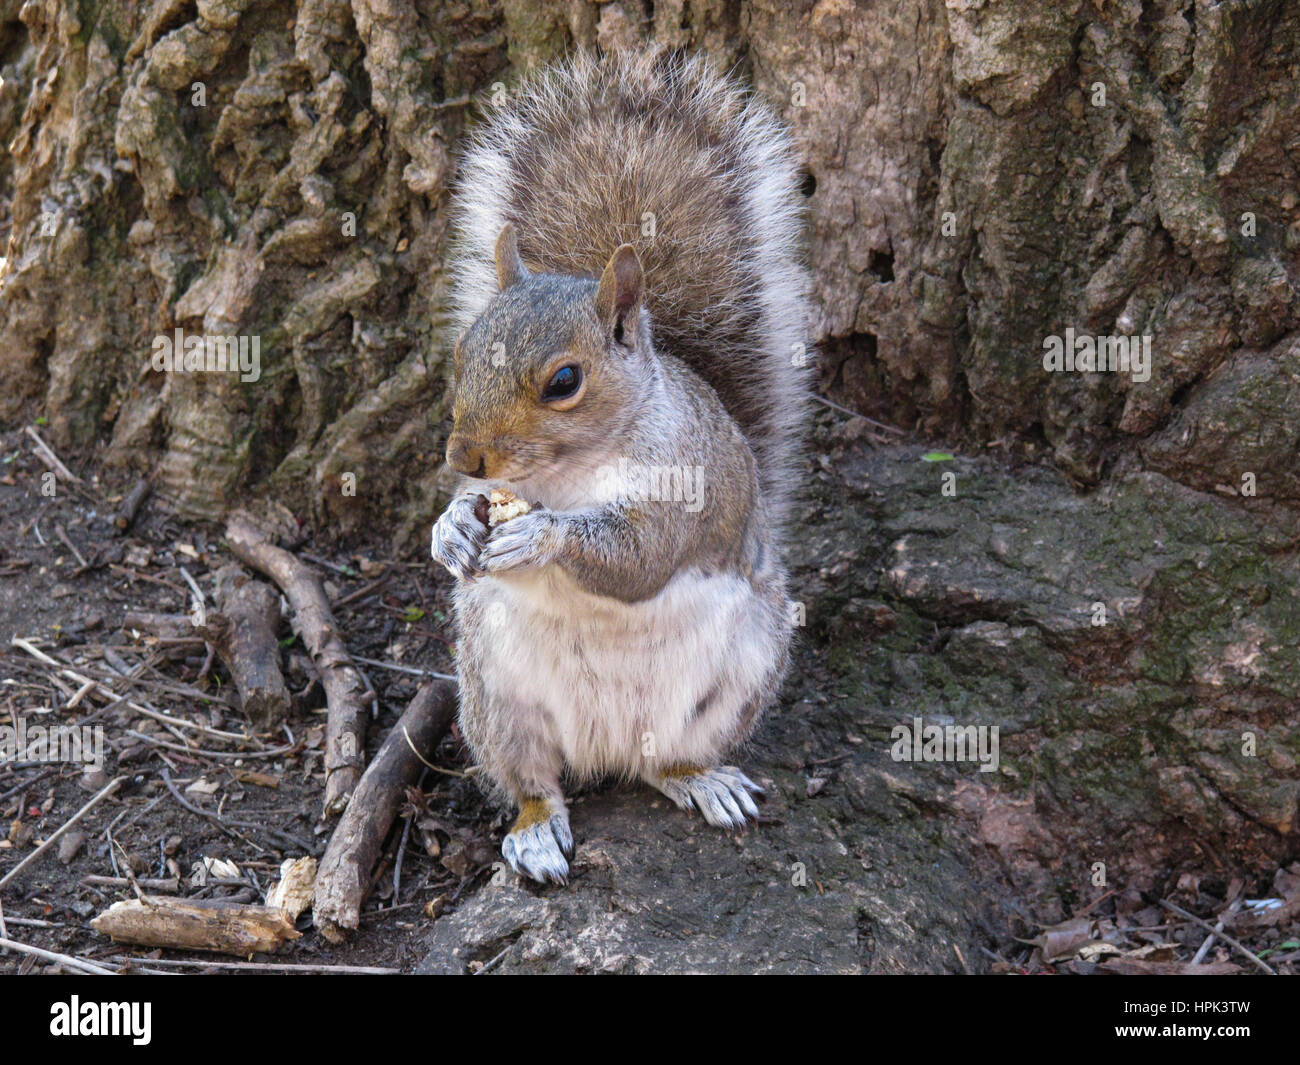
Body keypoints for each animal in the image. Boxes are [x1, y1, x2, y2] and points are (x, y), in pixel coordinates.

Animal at [430, 49, 810, 883]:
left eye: (565, 381)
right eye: (462, 353)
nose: (464, 454)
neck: (568, 471)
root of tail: (605, 749)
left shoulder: (683, 486)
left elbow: (638, 559)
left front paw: (538, 535)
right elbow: (472, 510)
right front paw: (450, 527)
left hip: (734, 680)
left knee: (663, 762)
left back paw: (700, 779)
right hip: (496, 698)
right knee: (533, 781)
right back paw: (538, 828)